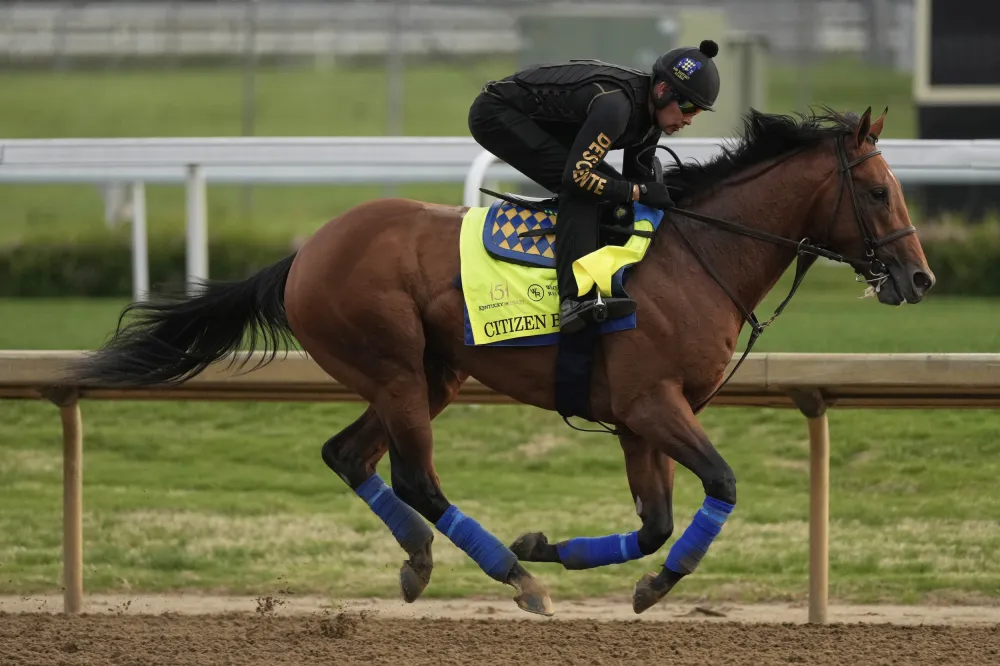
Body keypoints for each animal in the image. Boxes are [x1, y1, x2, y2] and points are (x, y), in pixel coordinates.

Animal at [67, 106, 935, 617]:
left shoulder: (638, 421)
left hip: (432, 374)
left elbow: (653, 522)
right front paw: (640, 583)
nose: (918, 278)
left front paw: (555, 548)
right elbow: (719, 485)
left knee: (348, 455)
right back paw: (511, 579)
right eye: (878, 191)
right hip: (394, 367)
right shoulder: (653, 404)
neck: (698, 256)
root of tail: (303, 253)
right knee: (415, 477)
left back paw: (425, 561)